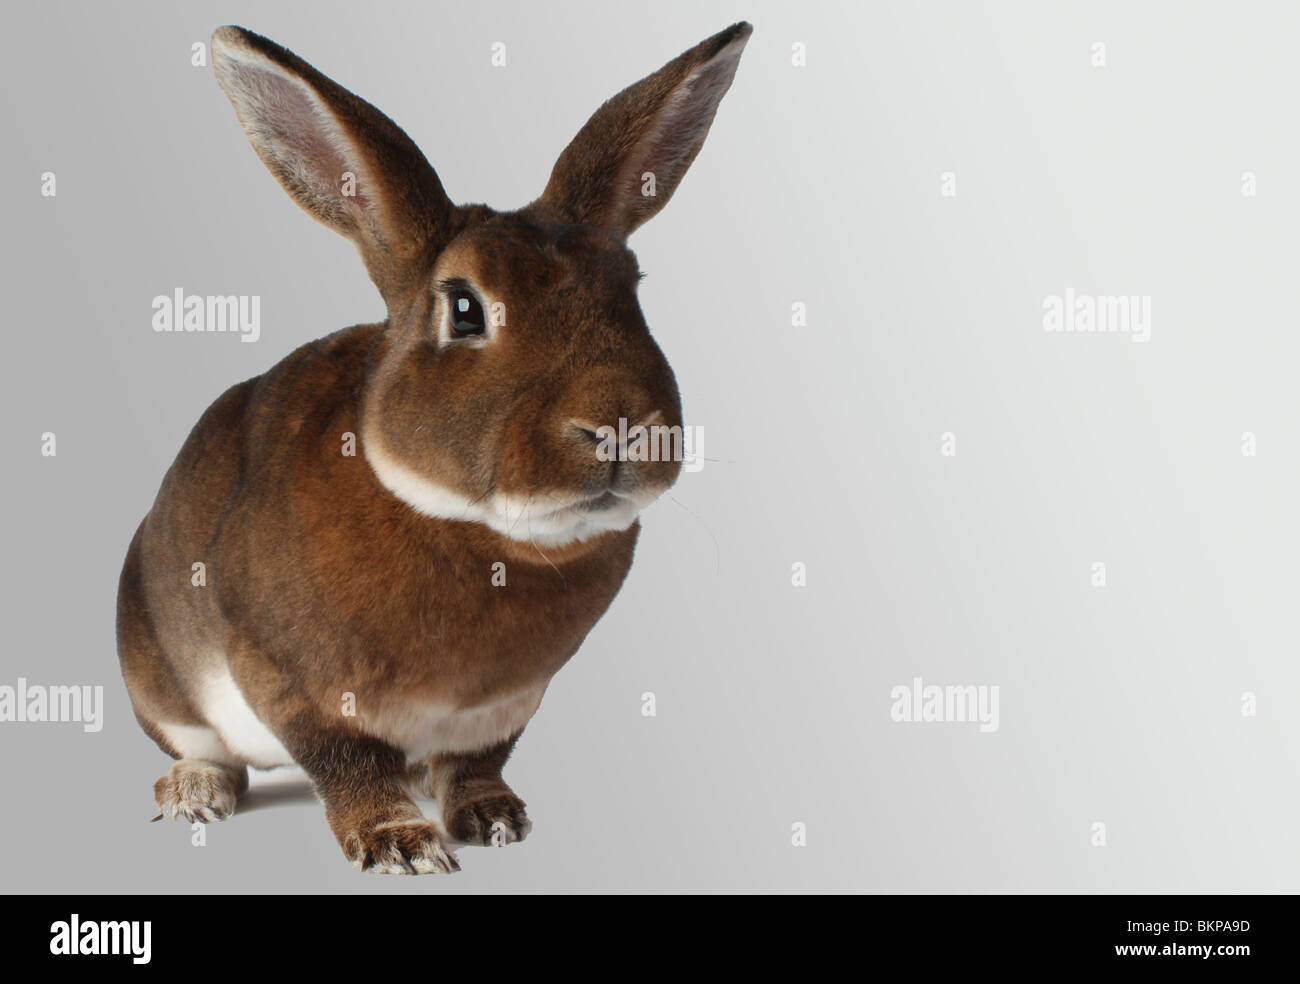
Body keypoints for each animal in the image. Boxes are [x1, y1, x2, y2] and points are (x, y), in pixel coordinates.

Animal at [115, 22, 751, 873]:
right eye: (464, 308)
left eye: (633, 286)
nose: (619, 425)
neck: (485, 536)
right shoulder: (296, 687)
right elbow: (348, 766)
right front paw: (401, 847)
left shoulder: (503, 709)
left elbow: (476, 765)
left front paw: (496, 821)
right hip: (157, 666)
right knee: (198, 744)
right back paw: (197, 793)